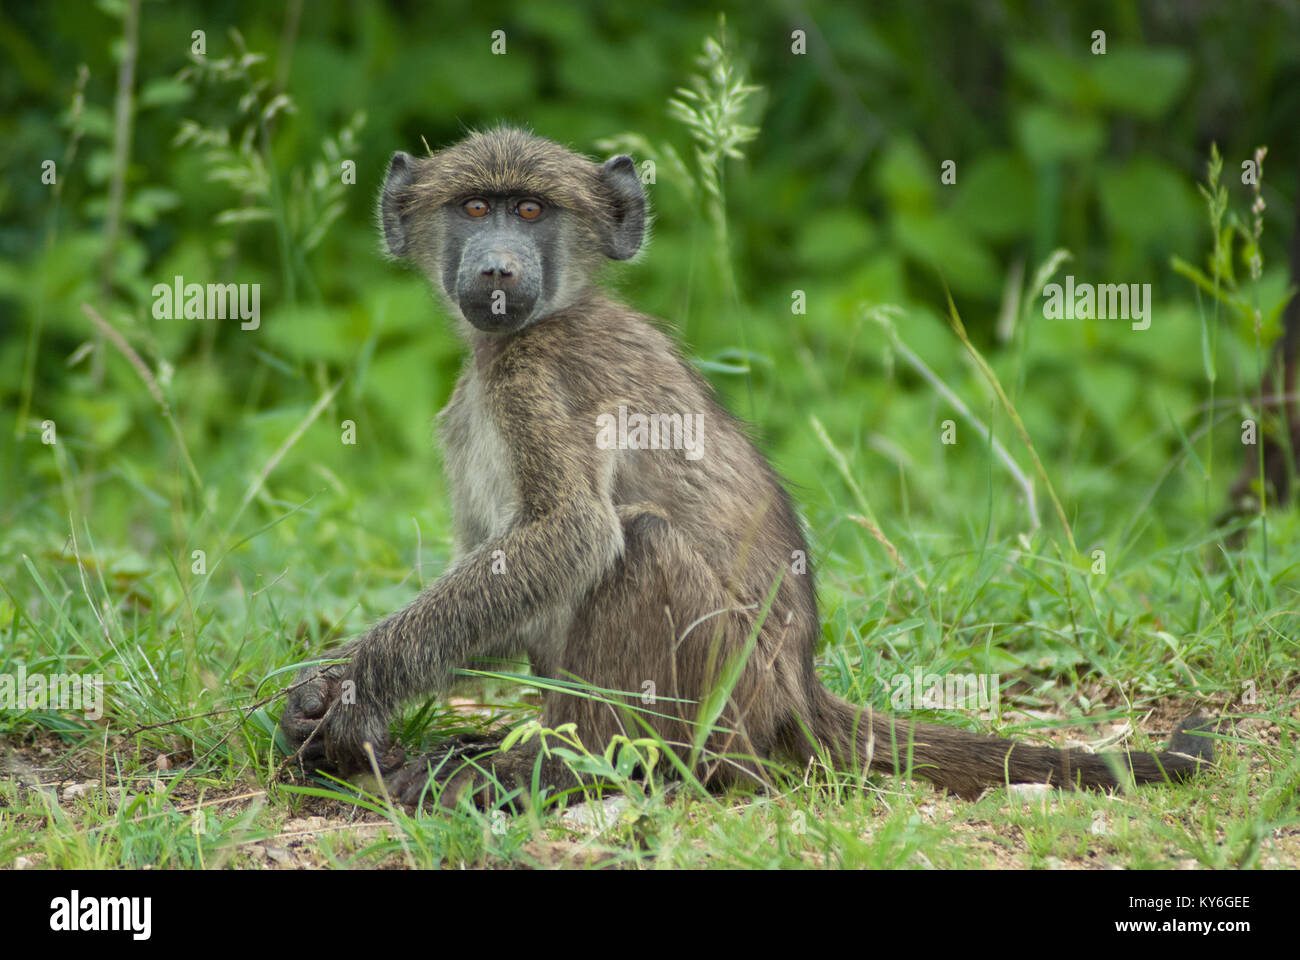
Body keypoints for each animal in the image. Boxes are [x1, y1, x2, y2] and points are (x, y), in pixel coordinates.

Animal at [280, 126, 1213, 809]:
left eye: (533, 211)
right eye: (476, 206)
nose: (500, 267)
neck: (530, 328)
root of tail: (798, 688)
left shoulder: (542, 379)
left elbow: (570, 535)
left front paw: (348, 697)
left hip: (728, 698)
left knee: (641, 545)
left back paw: (564, 767)